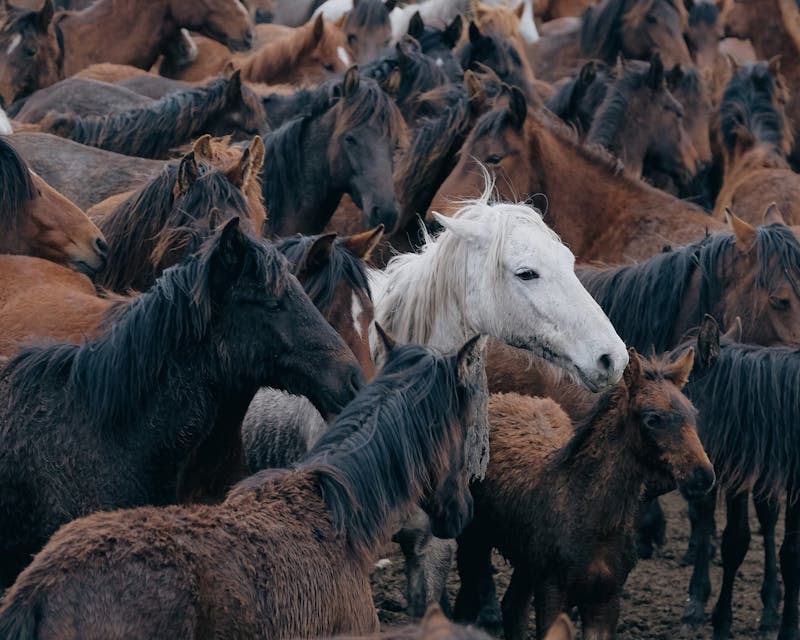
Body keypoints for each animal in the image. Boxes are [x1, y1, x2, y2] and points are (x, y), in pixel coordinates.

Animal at [454, 347, 712, 639]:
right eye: (652, 419)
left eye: (692, 413)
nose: (703, 475)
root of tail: (501, 398)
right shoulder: (553, 591)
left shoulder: (606, 600)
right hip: (474, 540)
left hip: (526, 564)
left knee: (513, 609)